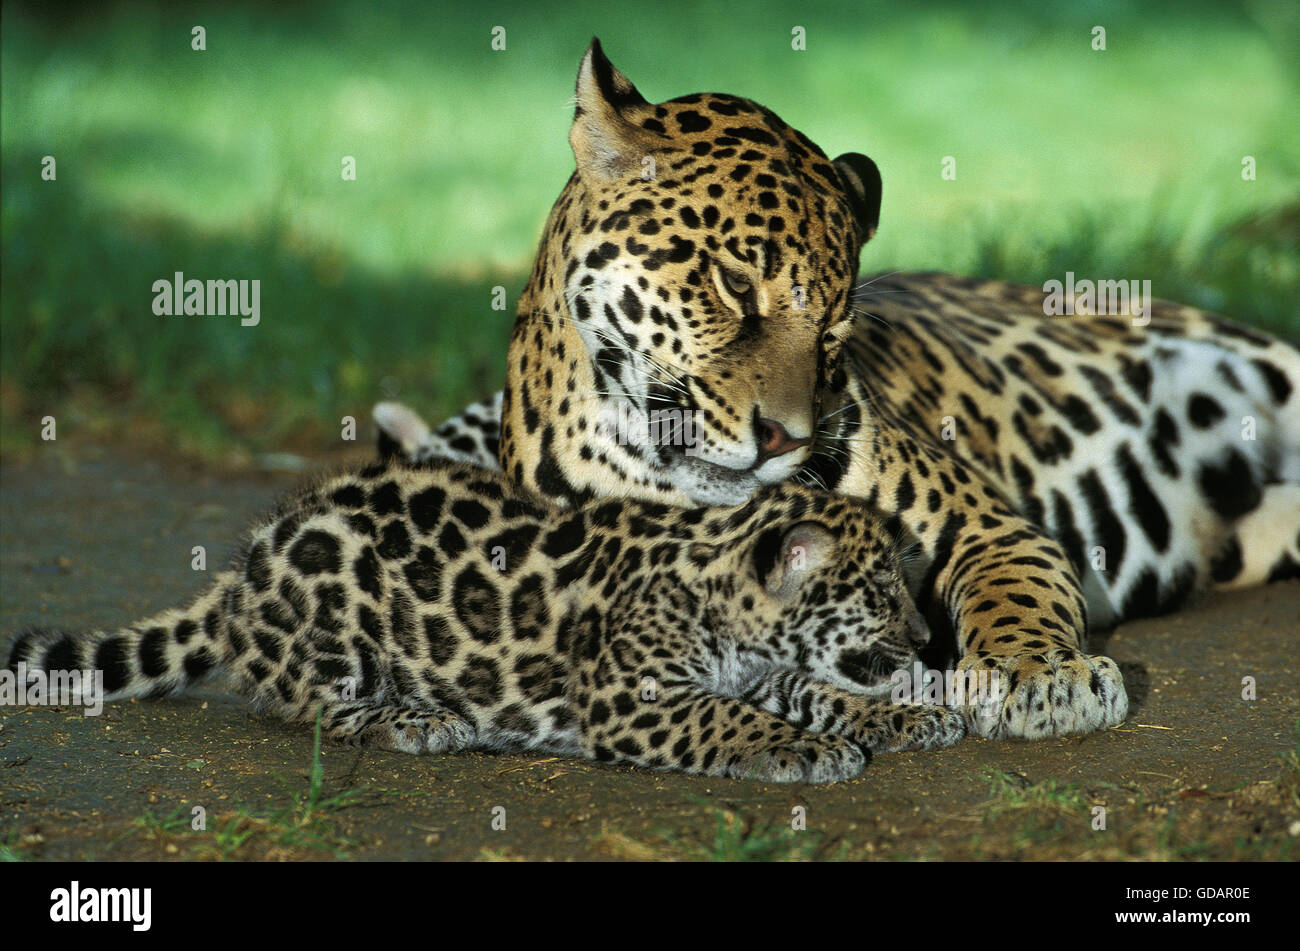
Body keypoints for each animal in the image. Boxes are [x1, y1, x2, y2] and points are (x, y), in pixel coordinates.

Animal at [5, 458, 965, 783]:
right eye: (880, 589)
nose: (927, 640)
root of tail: (245, 570)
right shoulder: (632, 698)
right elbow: (727, 718)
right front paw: (802, 749)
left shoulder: (767, 667)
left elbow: (823, 688)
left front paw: (907, 715)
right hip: (335, 590)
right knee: (311, 703)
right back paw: (419, 719)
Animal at [379, 38, 1300, 741]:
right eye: (733, 284)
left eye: (833, 326)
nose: (784, 438)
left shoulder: (992, 525)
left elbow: (1019, 595)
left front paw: (1041, 677)